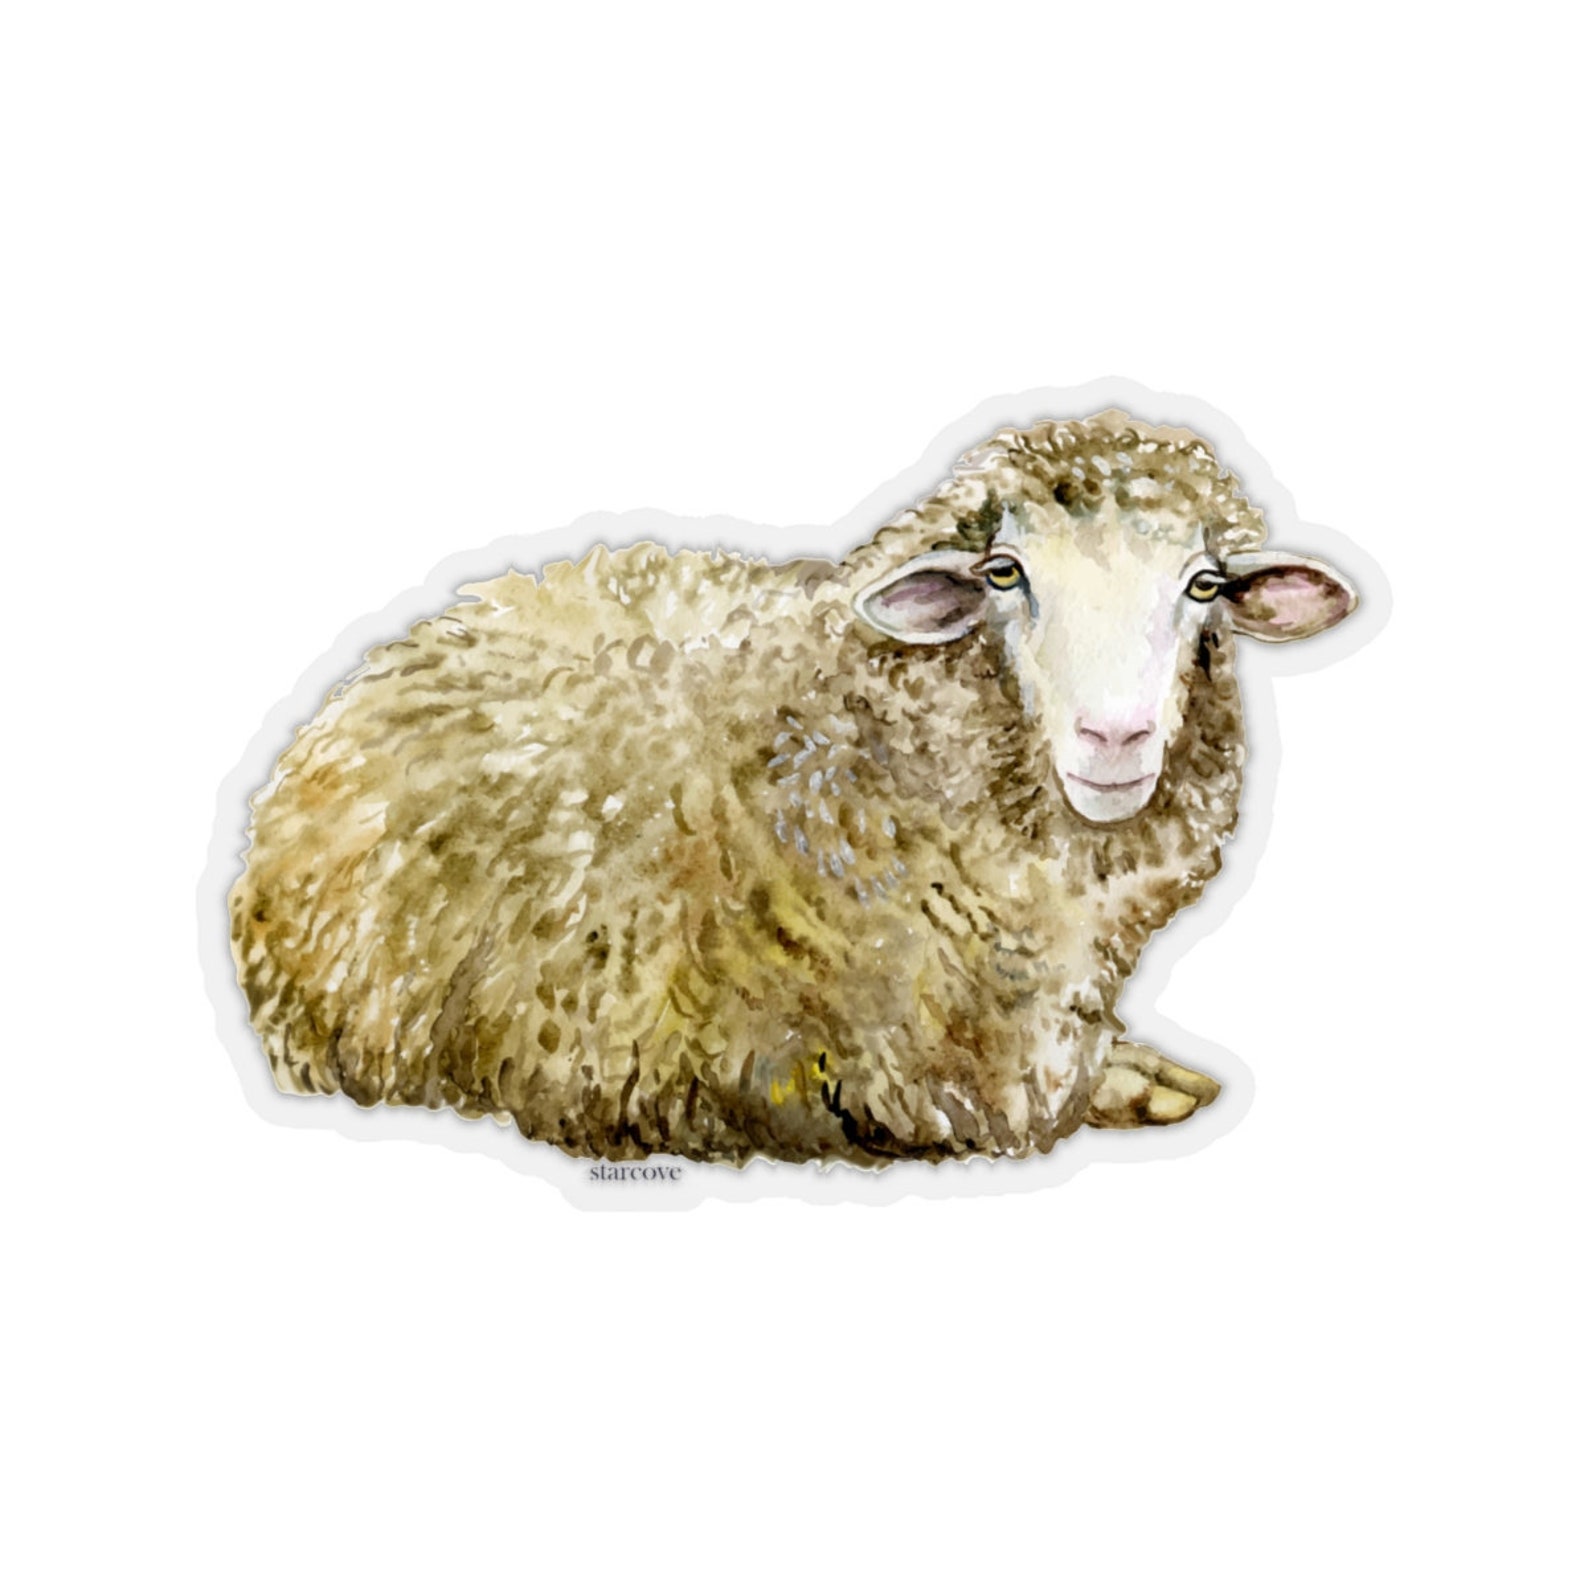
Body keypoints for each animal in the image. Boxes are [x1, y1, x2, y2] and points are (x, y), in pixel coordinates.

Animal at [229, 410, 1356, 1167]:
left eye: (1203, 585)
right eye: (1004, 573)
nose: (1114, 736)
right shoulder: (920, 1083)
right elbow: (1061, 1092)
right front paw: (1152, 1084)